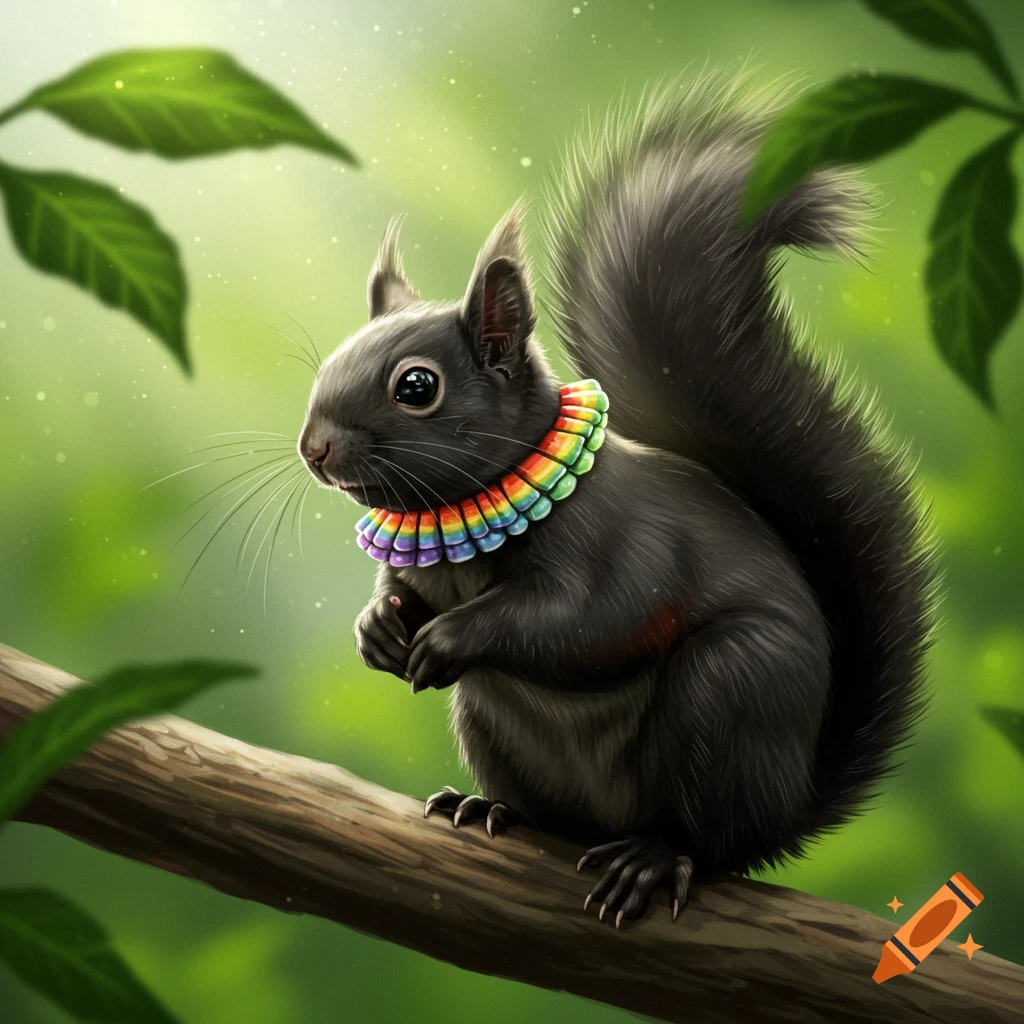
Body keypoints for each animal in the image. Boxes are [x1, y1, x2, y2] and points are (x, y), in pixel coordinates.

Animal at [298, 75, 936, 927]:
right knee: (561, 818)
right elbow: (399, 593)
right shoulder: (418, 571)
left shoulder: (622, 551)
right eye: (328, 362)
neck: (461, 519)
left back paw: (653, 858)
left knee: (712, 841)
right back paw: (490, 809)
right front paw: (376, 629)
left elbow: (585, 620)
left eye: (416, 387)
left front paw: (451, 637)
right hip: (491, 725)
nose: (314, 448)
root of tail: (790, 801)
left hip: (730, 688)